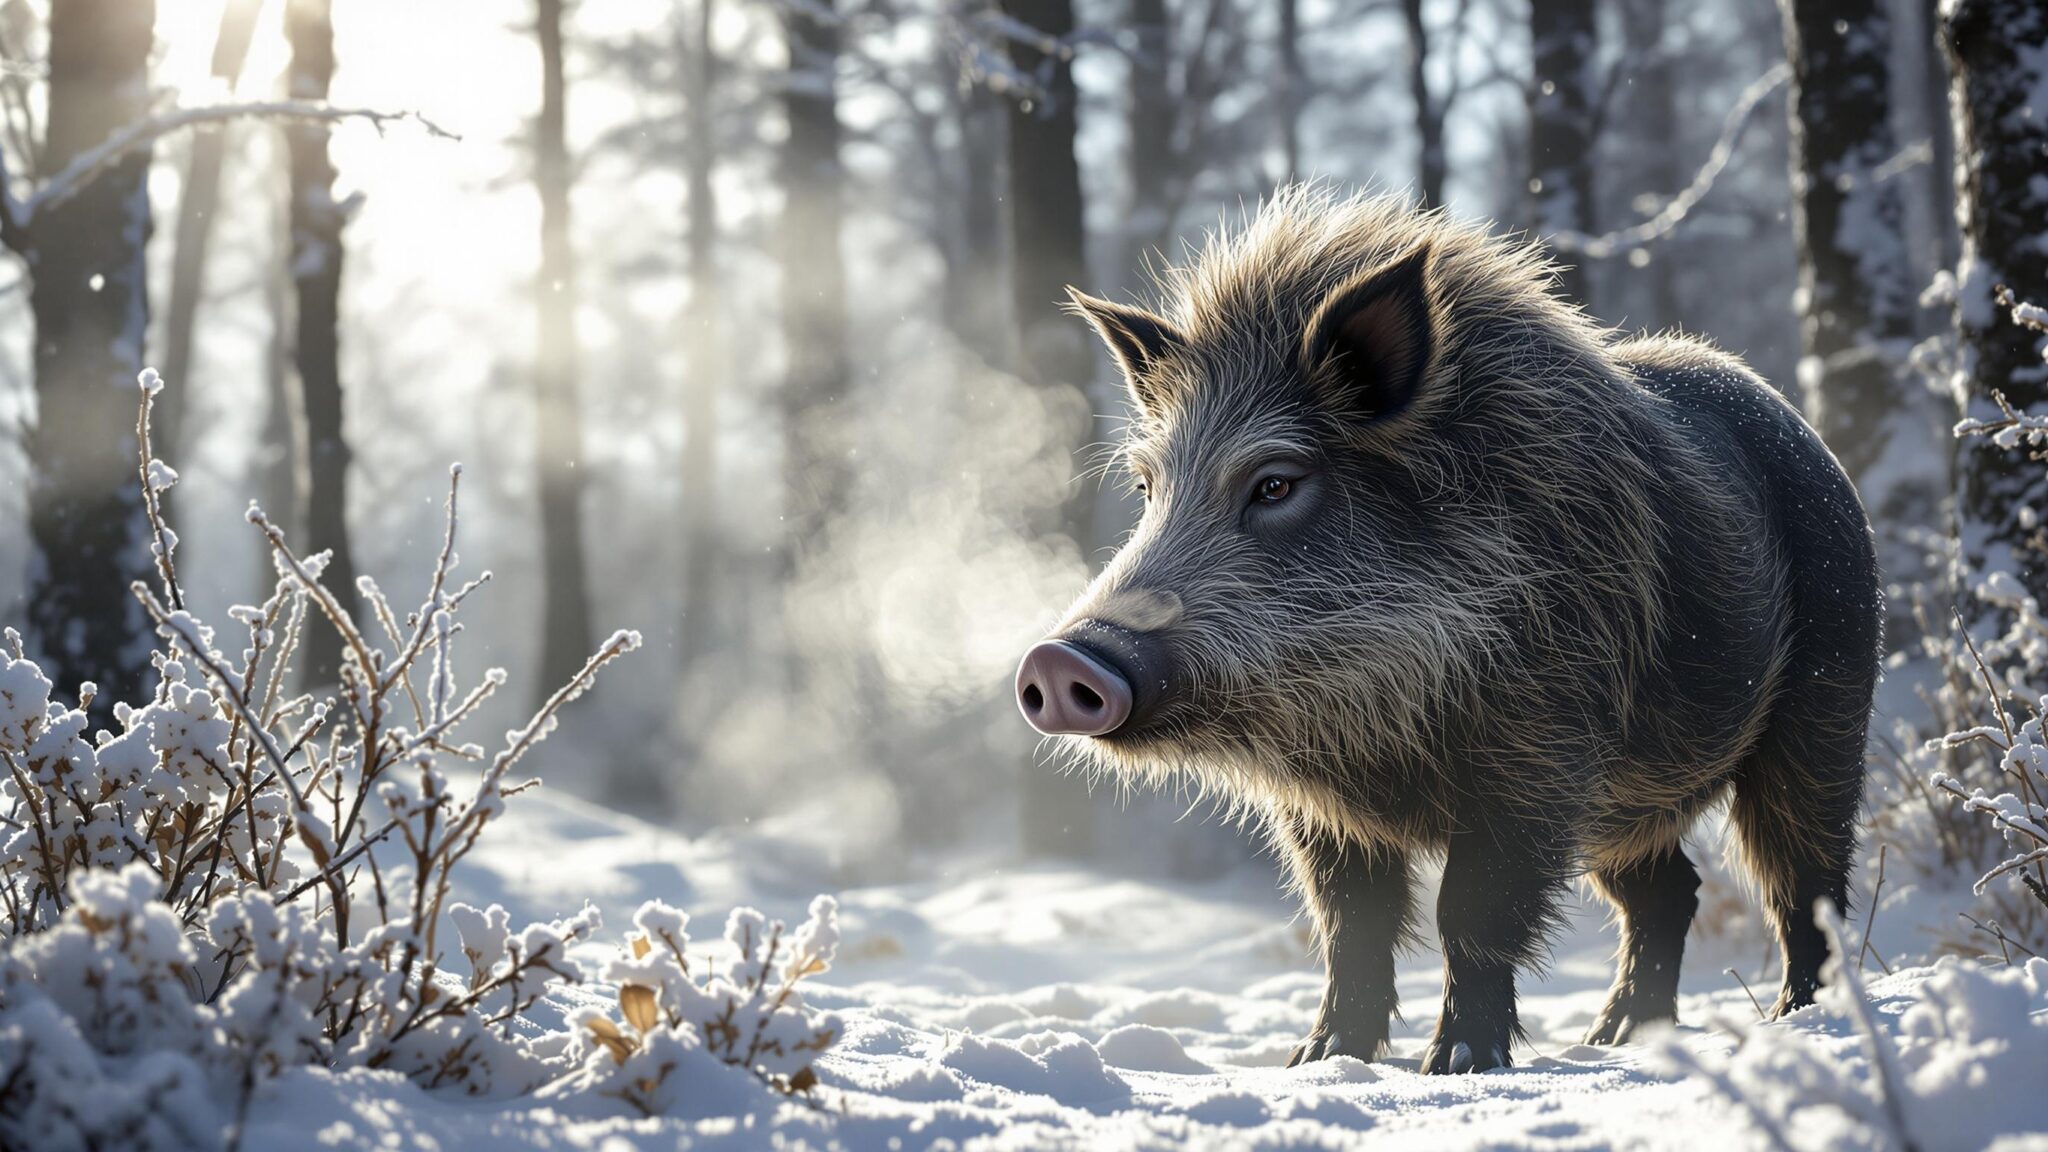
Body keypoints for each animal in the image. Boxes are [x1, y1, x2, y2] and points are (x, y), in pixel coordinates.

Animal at [1014, 189, 1879, 1073]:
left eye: (1275, 483)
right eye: (1146, 486)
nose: (1057, 659)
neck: (1373, 728)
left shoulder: (1537, 762)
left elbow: (1469, 913)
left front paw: (1456, 1064)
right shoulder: (1323, 808)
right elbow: (1349, 925)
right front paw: (1320, 1060)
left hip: (1828, 703)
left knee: (1803, 878)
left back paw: (1803, 1020)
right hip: (1627, 805)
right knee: (1671, 889)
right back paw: (1618, 1036)